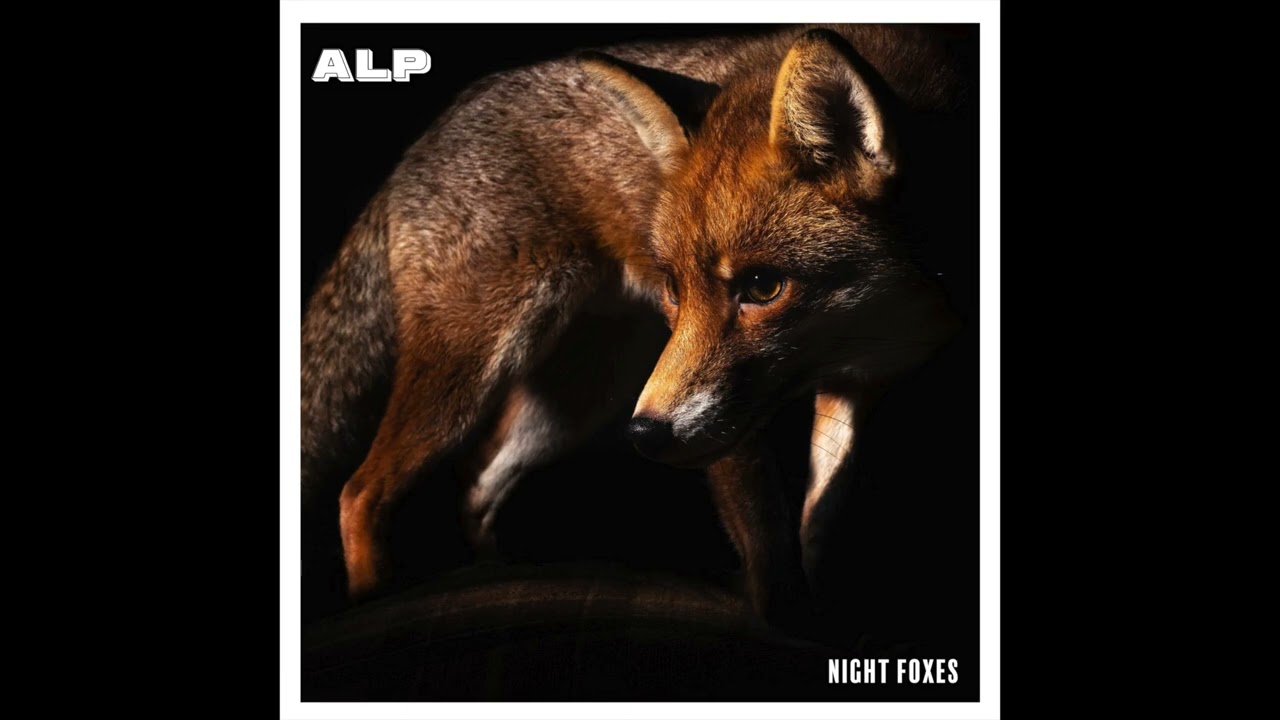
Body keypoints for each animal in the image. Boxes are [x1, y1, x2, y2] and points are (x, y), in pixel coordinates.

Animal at [302, 24, 970, 623]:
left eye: (763, 287)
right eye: (675, 287)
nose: (645, 436)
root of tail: (426, 138)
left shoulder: (859, 386)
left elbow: (818, 523)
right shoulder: (718, 426)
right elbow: (768, 541)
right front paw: (788, 621)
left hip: (580, 401)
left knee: (475, 485)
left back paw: (489, 580)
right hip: (478, 370)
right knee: (361, 492)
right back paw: (377, 602)